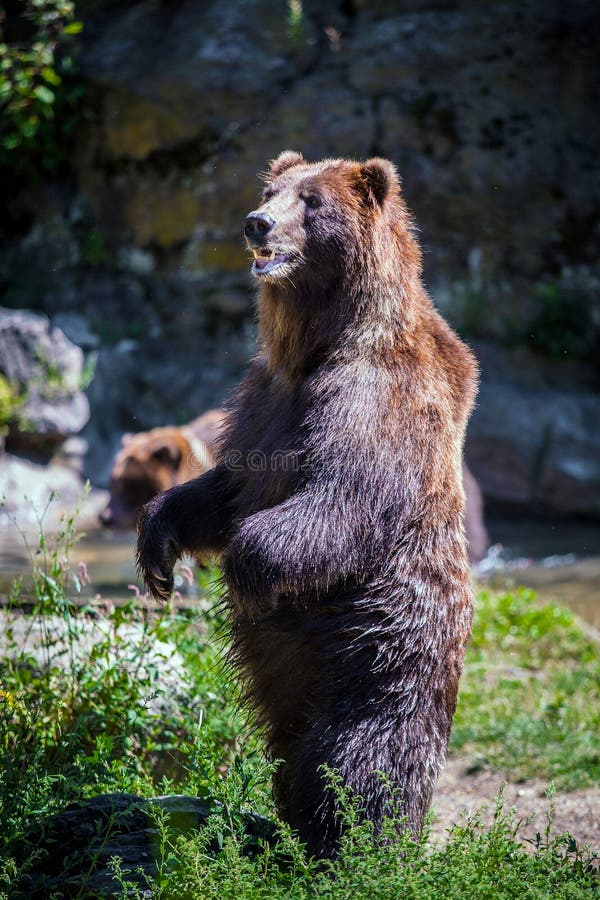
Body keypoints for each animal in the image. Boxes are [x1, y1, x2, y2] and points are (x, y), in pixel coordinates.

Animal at [136, 151, 478, 858]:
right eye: (273, 189)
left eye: (313, 201)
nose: (256, 222)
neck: (316, 343)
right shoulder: (262, 398)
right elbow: (224, 489)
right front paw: (157, 546)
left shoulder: (375, 397)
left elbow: (340, 499)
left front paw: (245, 575)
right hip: (299, 685)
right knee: (289, 750)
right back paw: (282, 833)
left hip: (382, 653)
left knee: (358, 757)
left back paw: (354, 847)